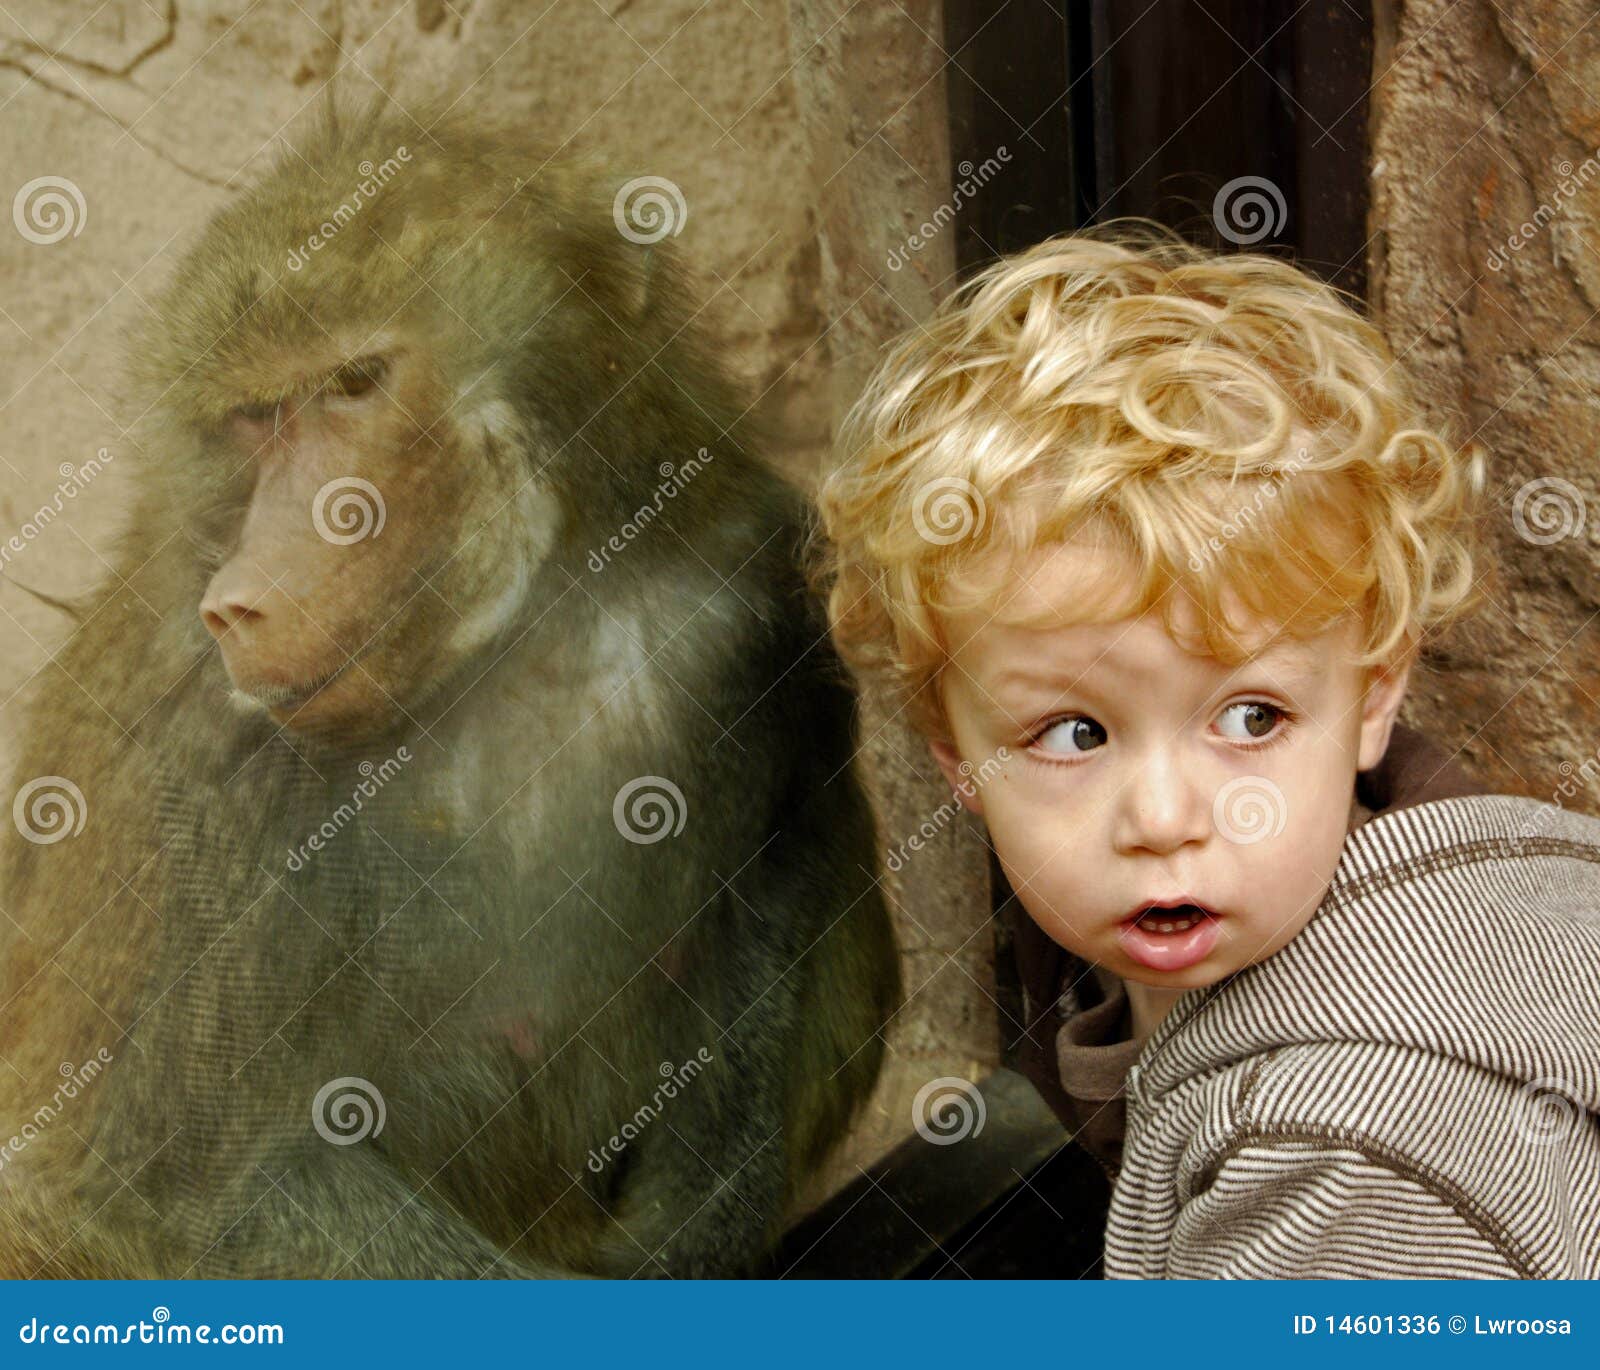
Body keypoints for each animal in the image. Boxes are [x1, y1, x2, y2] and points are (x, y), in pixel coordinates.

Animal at [0, 98, 900, 1279]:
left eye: (353, 384)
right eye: (254, 418)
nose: (240, 597)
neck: (511, 649)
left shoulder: (752, 584)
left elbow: (788, 859)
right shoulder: (202, 764)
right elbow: (120, 1195)